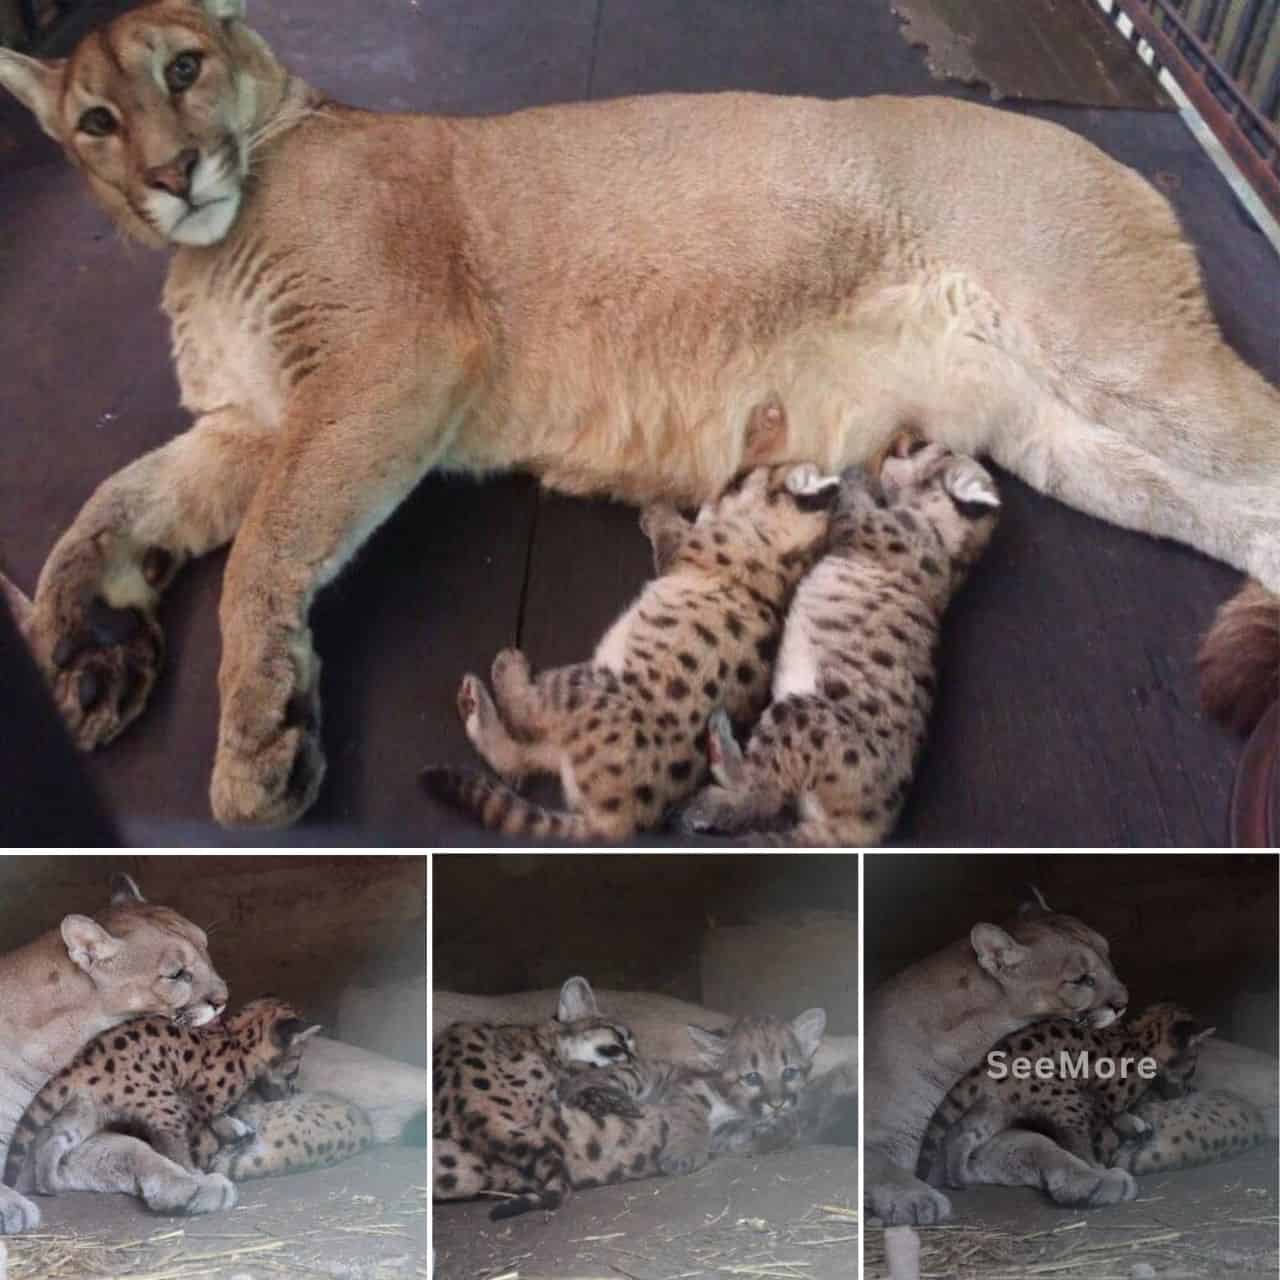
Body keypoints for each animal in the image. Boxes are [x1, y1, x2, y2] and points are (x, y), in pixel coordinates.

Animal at [1, 0, 1275, 827]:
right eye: (94, 122)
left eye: (182, 70)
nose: (171, 174)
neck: (205, 250)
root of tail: (1108, 154)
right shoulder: (250, 422)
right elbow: (113, 504)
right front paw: (71, 635)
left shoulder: (385, 363)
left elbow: (266, 545)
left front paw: (259, 739)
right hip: (1071, 440)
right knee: (1245, 517)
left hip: (1124, 358)